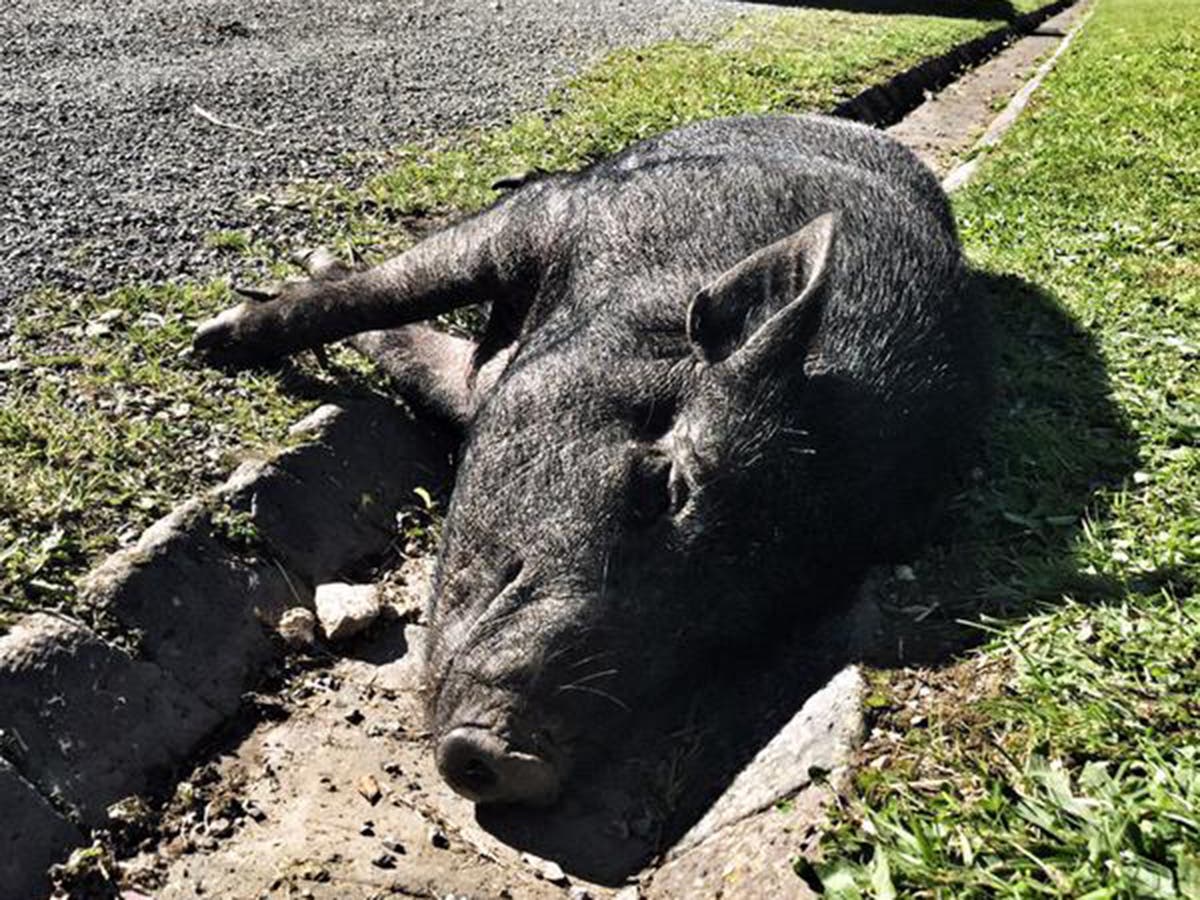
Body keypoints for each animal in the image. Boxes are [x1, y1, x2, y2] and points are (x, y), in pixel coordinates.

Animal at [194, 114, 991, 806]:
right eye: (666, 484)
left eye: (750, 625)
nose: (518, 760)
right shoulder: (553, 219)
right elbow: (390, 290)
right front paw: (220, 336)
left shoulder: (483, 376)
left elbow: (415, 353)